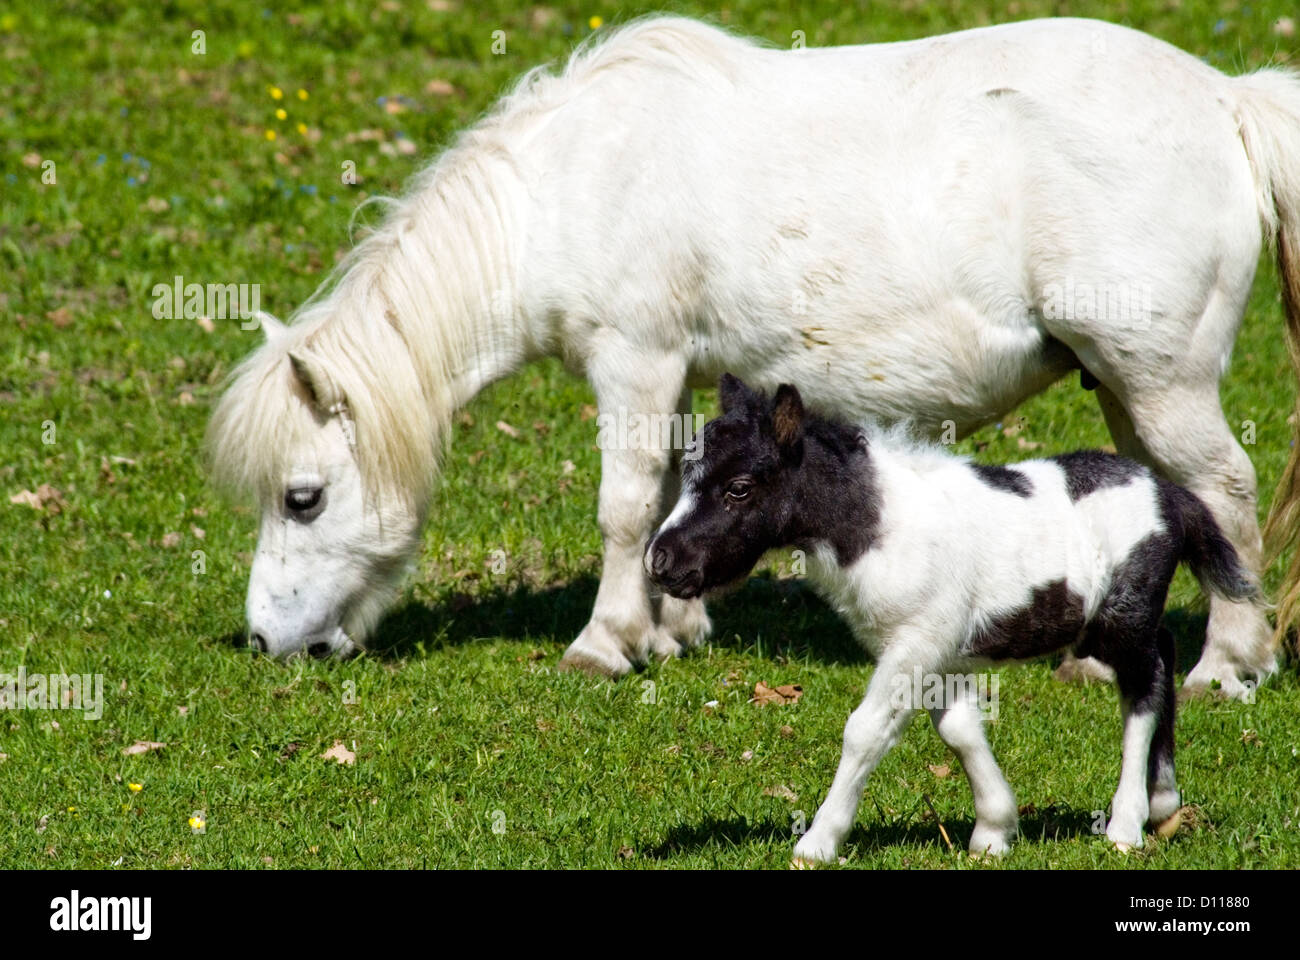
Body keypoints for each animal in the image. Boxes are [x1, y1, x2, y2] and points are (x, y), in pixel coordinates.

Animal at [206, 16, 1300, 700]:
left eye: (302, 497)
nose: (263, 640)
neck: (568, 188)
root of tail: (1223, 100)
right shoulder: (678, 376)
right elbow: (666, 499)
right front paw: (672, 627)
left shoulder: (635, 363)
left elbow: (623, 505)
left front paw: (606, 643)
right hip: (1122, 386)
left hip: (1158, 381)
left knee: (1224, 493)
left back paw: (1228, 665)